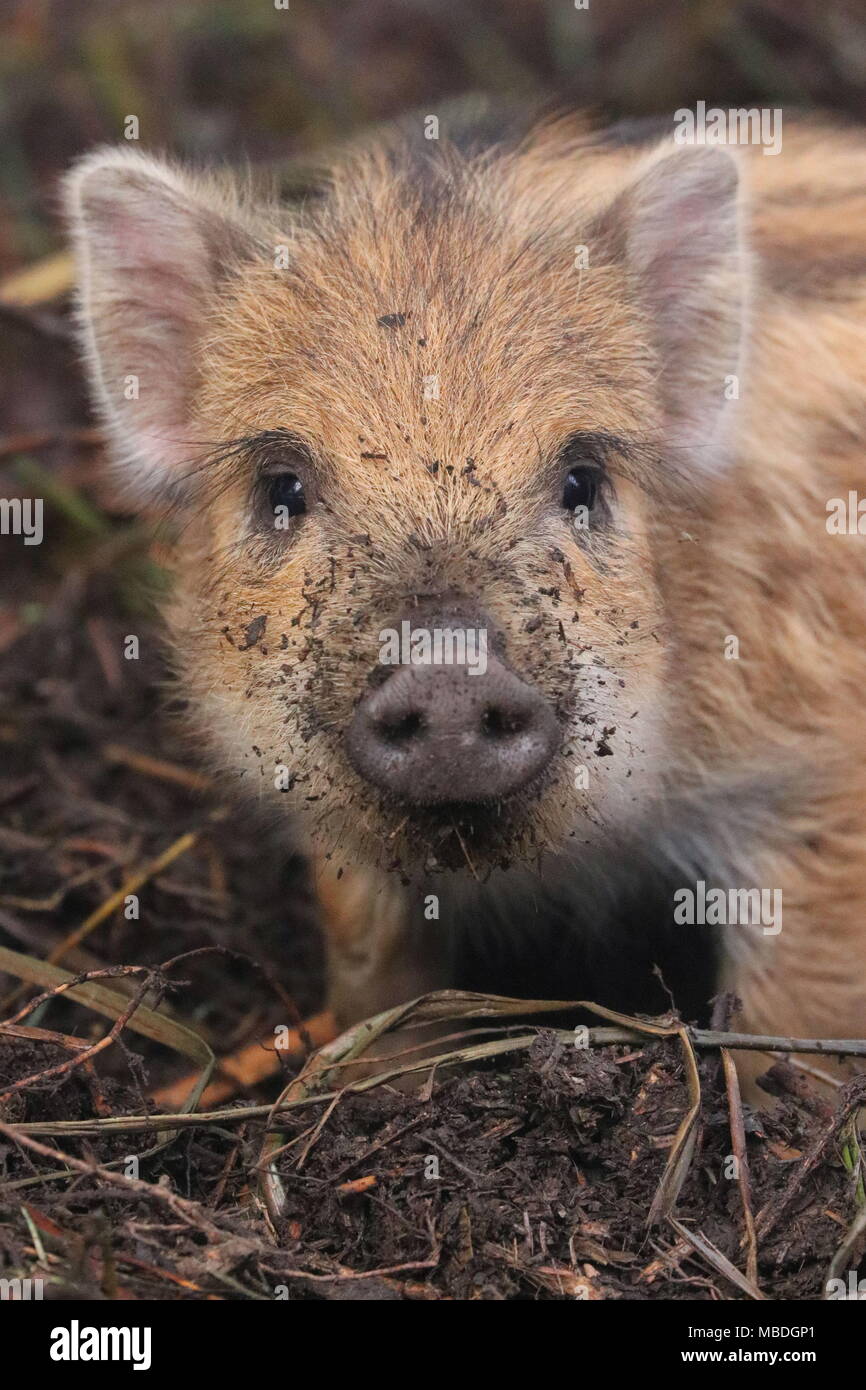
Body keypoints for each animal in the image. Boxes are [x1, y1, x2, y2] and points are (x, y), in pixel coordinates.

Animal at [64, 108, 866, 1091]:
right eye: (282, 488)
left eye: (582, 479)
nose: (444, 669)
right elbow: (377, 972)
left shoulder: (821, 786)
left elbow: (797, 1016)